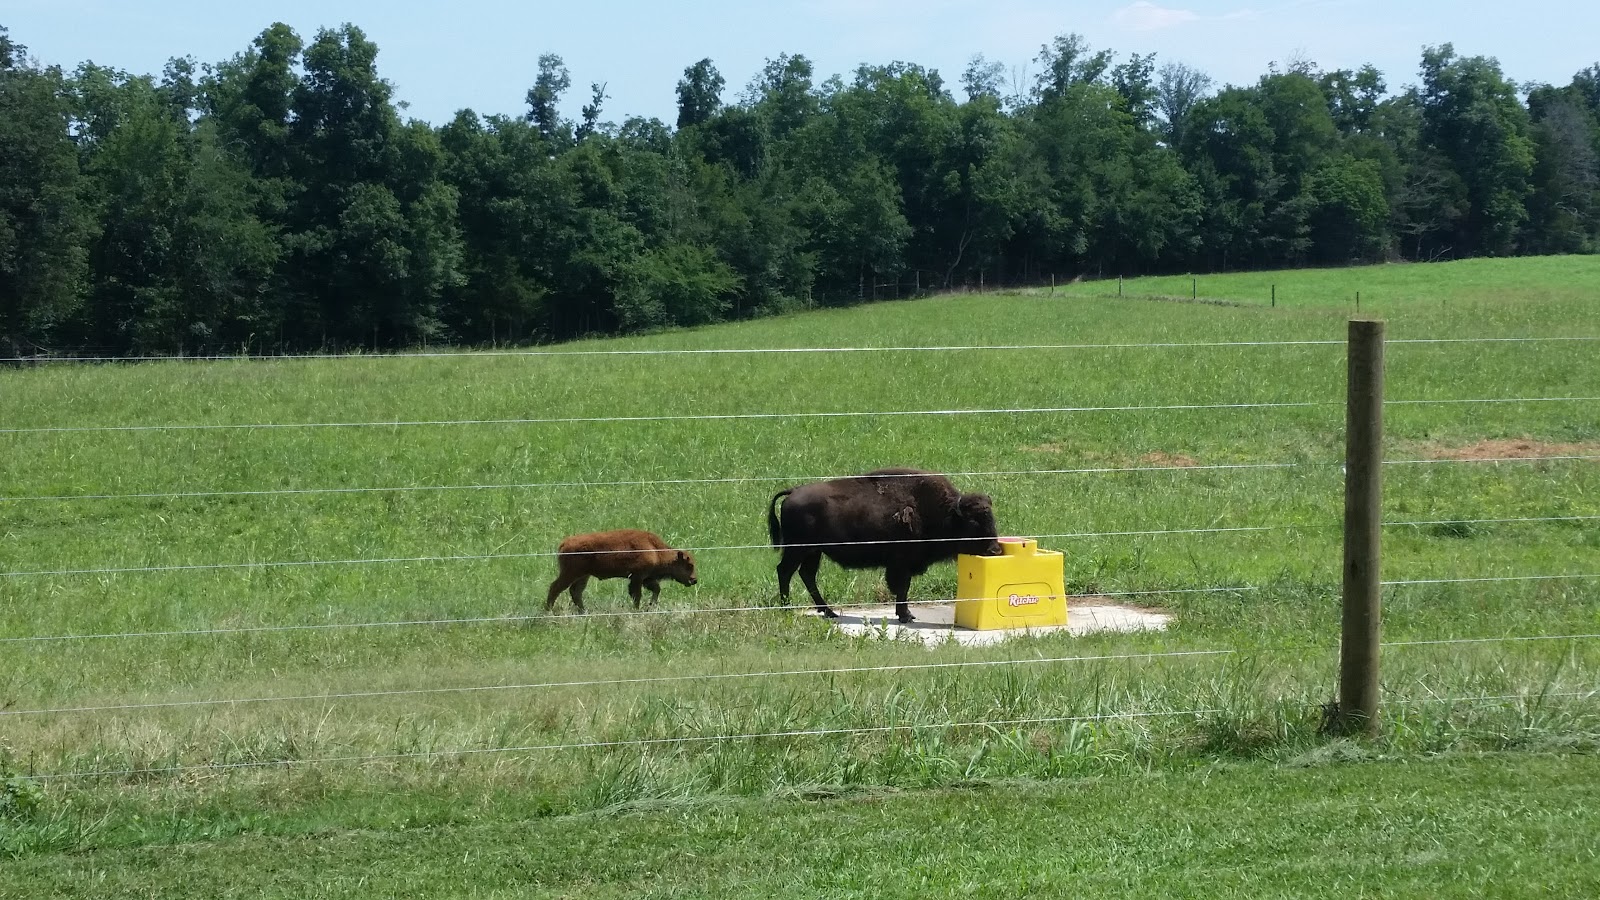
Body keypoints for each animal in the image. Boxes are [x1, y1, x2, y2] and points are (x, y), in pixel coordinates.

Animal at [545, 529, 698, 613]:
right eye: (689, 565)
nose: (694, 580)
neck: (655, 549)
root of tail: (564, 544)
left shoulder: (647, 578)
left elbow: (656, 589)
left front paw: (650, 606)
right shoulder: (637, 577)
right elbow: (637, 595)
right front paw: (637, 609)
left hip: (584, 575)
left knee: (576, 591)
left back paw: (584, 611)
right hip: (571, 573)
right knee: (555, 588)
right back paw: (548, 610)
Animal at [767, 468, 1002, 624]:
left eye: (992, 519)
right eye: (973, 522)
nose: (995, 549)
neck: (943, 513)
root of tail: (793, 492)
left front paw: (906, 614)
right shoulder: (901, 564)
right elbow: (902, 587)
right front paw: (906, 616)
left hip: (813, 552)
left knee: (806, 575)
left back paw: (829, 612)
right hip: (798, 550)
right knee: (785, 571)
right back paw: (787, 608)